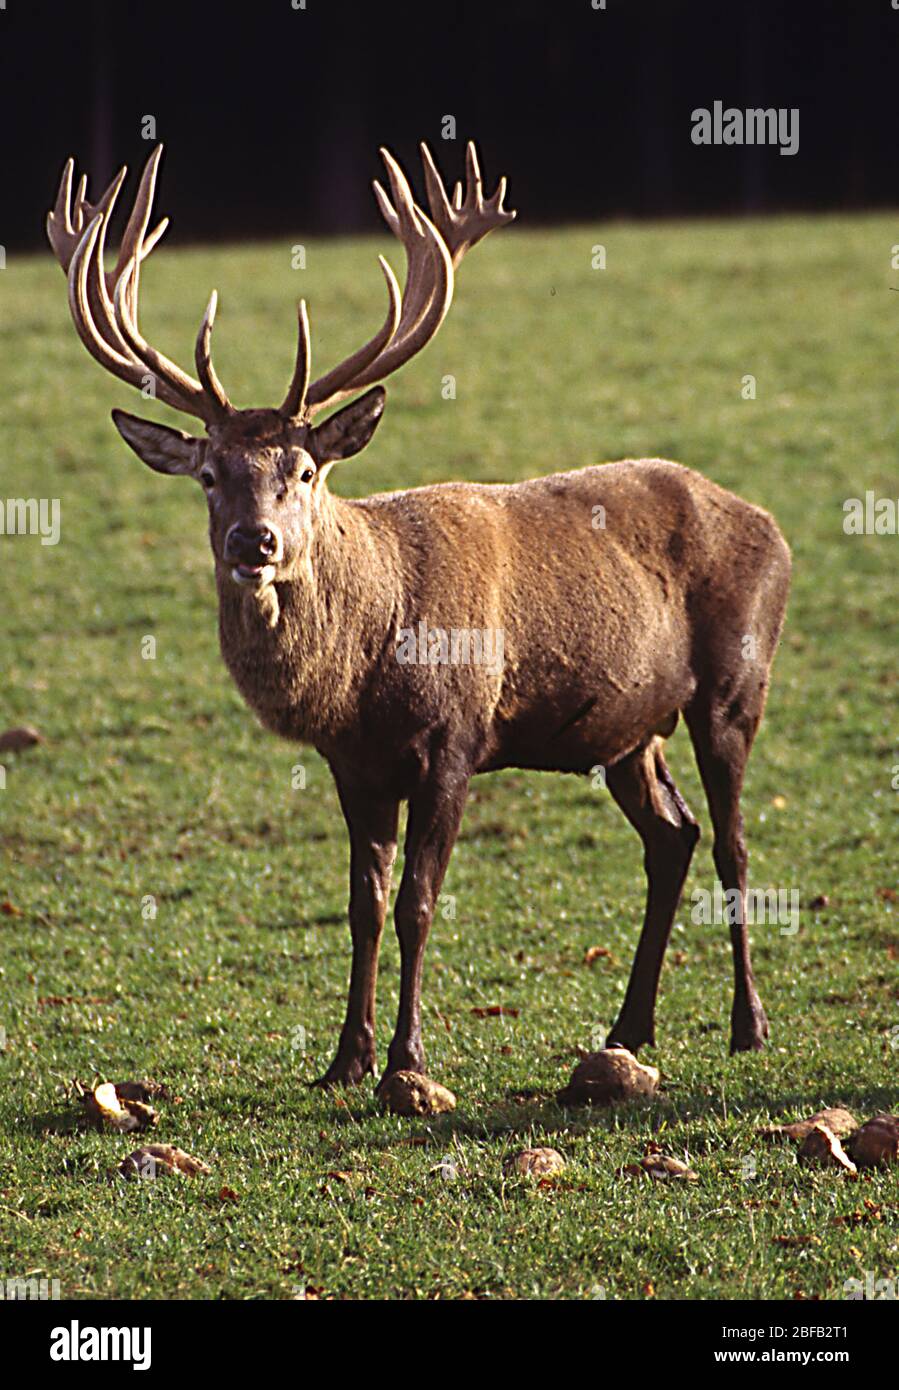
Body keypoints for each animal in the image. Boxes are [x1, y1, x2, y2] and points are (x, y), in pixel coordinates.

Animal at [47, 141, 791, 1090]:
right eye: (209, 474)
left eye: (303, 470)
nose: (254, 542)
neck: (367, 662)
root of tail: (770, 524)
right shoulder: (352, 763)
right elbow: (362, 904)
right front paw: (344, 1059)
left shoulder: (455, 738)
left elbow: (417, 903)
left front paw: (406, 1058)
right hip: (627, 730)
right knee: (673, 836)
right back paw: (629, 1029)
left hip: (735, 681)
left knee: (733, 842)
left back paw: (748, 1025)